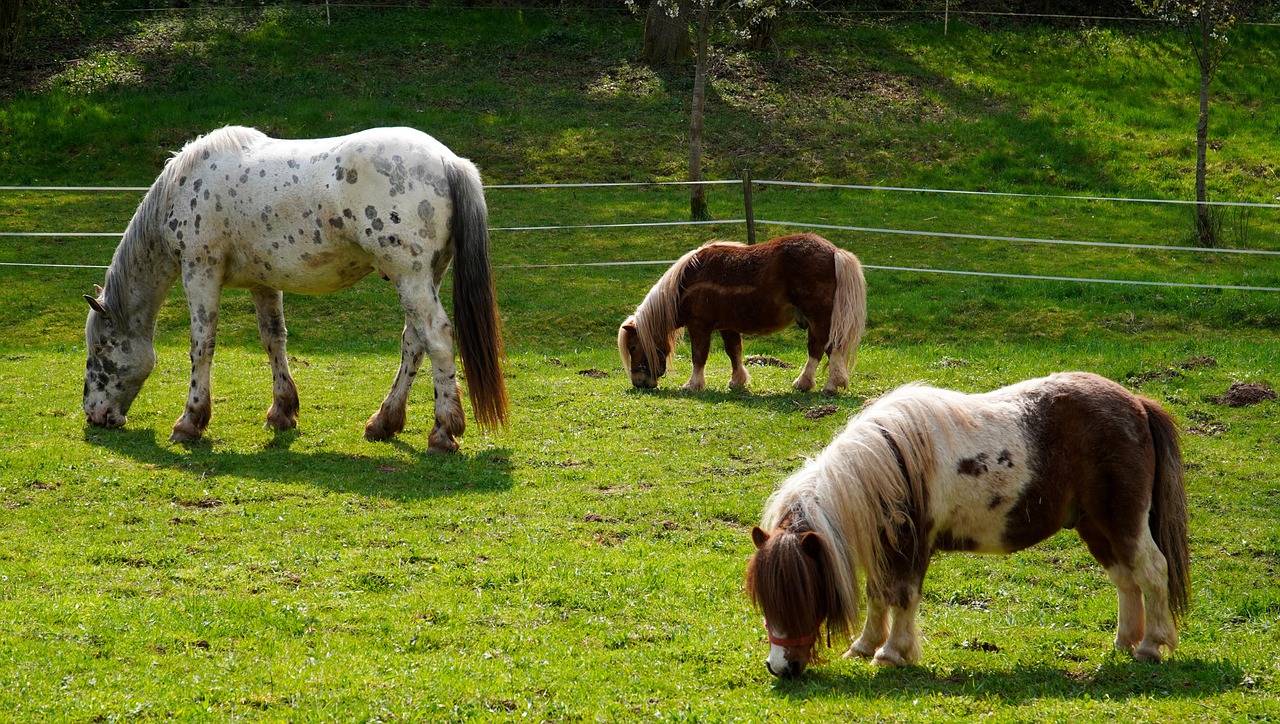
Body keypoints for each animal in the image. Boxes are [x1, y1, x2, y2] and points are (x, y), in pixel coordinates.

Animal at [83, 125, 507, 452]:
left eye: (100, 349)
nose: (94, 414)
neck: (185, 186)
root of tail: (449, 161)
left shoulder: (200, 272)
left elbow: (202, 346)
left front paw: (190, 421)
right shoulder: (262, 283)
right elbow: (273, 339)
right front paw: (282, 411)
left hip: (411, 277)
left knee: (436, 339)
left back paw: (443, 432)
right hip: (426, 276)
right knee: (413, 342)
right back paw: (384, 422)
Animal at [617, 233, 866, 394]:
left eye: (632, 347)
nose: (638, 381)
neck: (686, 282)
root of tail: (834, 252)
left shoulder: (699, 326)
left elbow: (699, 355)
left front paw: (693, 385)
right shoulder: (727, 326)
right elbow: (734, 352)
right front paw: (737, 381)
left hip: (819, 318)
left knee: (828, 348)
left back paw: (828, 385)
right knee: (818, 349)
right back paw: (808, 383)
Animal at [744, 372, 1190, 677]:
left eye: (800, 595)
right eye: (766, 599)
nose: (779, 667)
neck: (888, 464)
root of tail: (1136, 403)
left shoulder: (910, 546)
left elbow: (901, 596)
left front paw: (891, 653)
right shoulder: (885, 545)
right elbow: (877, 595)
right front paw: (864, 646)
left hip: (1122, 522)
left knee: (1152, 572)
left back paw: (1151, 646)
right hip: (1096, 527)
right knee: (1126, 581)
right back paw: (1124, 643)